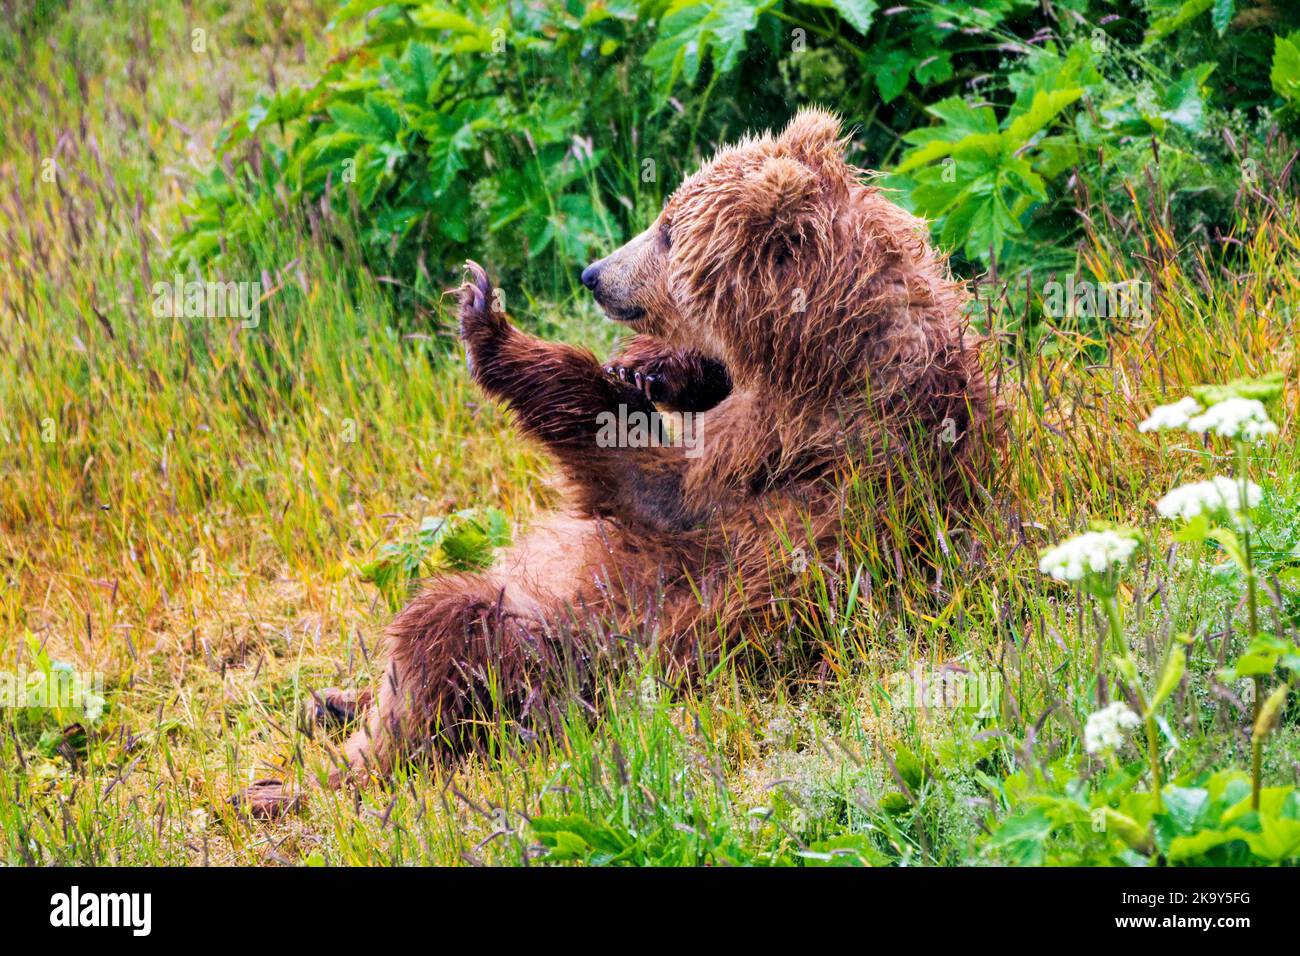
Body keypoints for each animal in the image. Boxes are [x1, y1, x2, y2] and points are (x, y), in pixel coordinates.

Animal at [238, 108, 997, 813]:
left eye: (667, 230)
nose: (593, 273)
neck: (804, 345)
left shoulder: (791, 454)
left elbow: (639, 478)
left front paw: (487, 319)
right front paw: (650, 369)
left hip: (558, 655)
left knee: (447, 631)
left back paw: (298, 780)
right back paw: (331, 701)